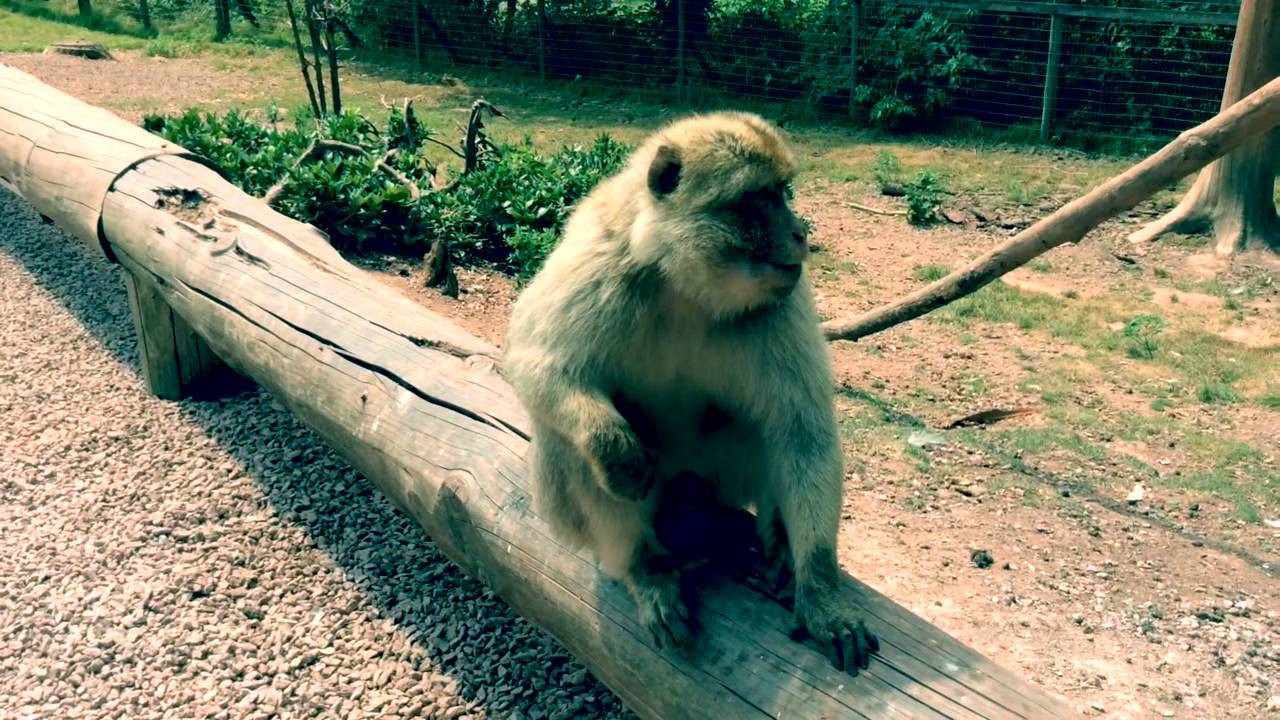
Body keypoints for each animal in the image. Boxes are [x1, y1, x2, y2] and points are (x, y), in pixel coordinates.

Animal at [501, 111, 879, 675]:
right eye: (759, 199)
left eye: (783, 193)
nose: (800, 232)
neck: (685, 285)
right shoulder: (598, 266)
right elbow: (534, 363)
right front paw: (617, 453)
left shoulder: (782, 302)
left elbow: (803, 434)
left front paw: (821, 592)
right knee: (567, 442)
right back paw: (647, 567)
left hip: (721, 478)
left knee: (762, 428)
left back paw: (775, 542)